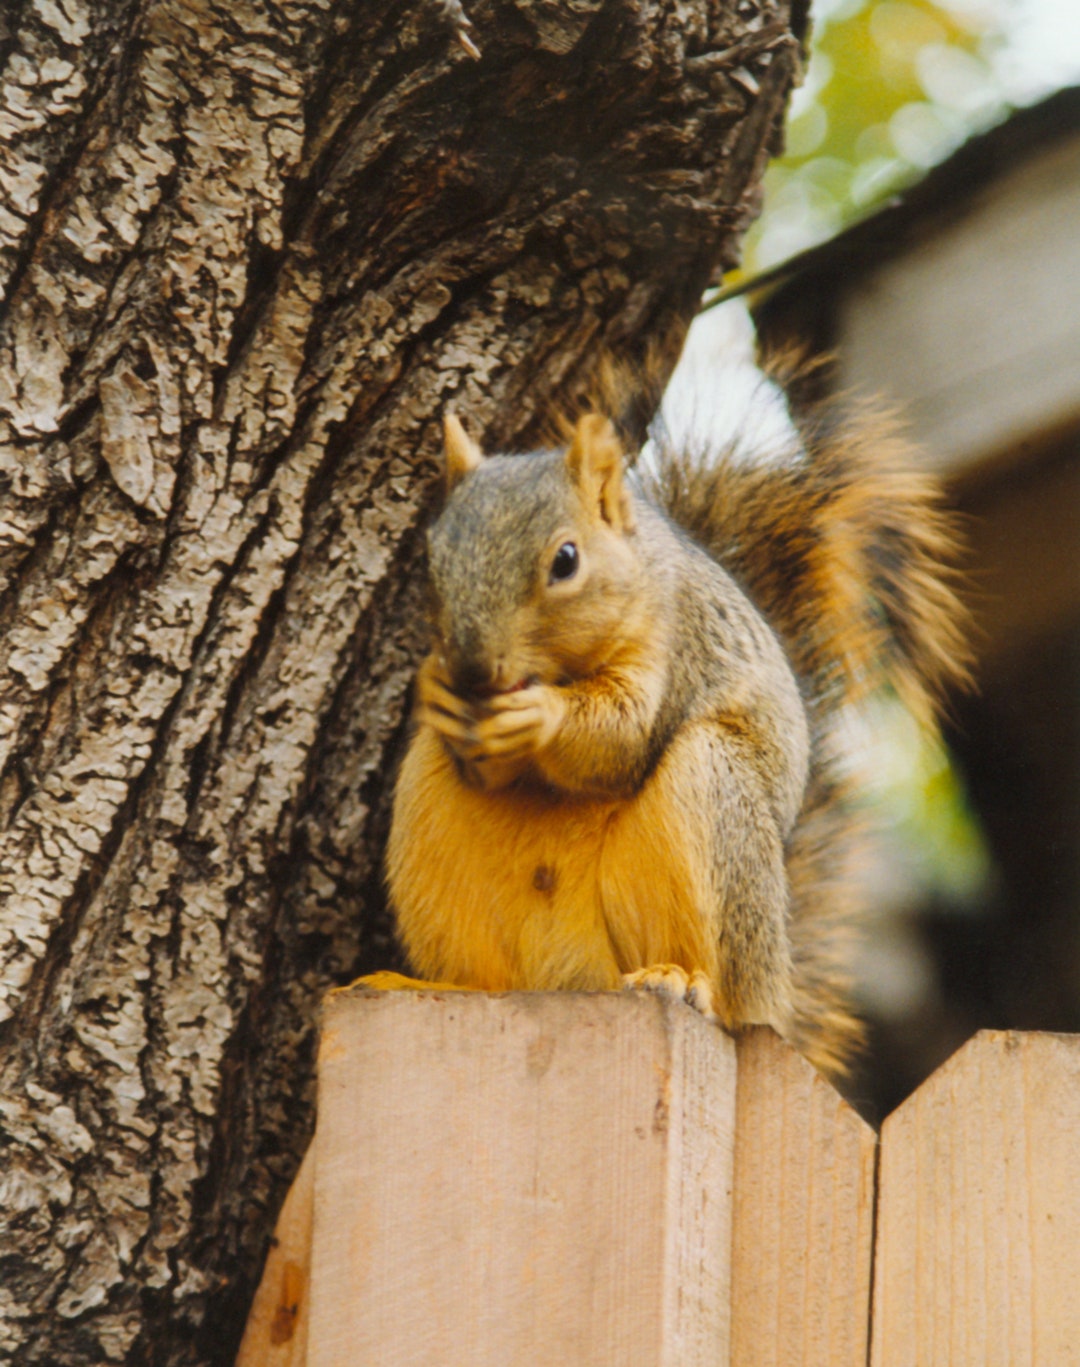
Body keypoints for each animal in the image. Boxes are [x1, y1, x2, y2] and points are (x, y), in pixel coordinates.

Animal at [359, 359, 971, 1076]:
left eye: (565, 560)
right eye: (431, 562)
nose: (475, 670)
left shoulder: (672, 648)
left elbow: (619, 739)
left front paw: (540, 711)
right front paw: (436, 690)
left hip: (713, 799)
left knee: (716, 983)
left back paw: (678, 978)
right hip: (434, 831)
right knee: (481, 968)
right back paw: (423, 983)